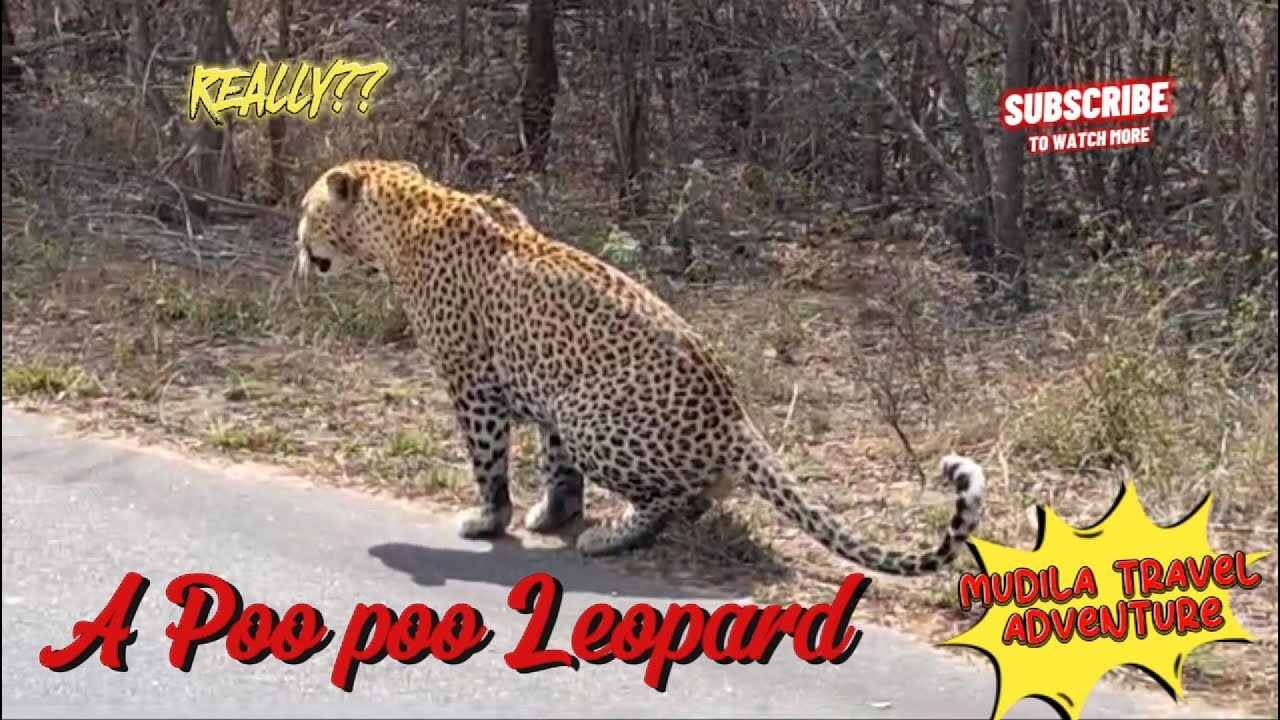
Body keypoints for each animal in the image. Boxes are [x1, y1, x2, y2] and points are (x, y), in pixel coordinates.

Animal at [294, 159, 987, 576]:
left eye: (305, 212)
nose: (296, 249)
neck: (403, 217)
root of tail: (736, 420)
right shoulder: (549, 390)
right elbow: (558, 467)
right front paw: (554, 514)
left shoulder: (475, 387)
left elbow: (488, 463)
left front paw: (489, 520)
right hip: (580, 407)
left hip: (594, 416)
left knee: (674, 500)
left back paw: (613, 536)